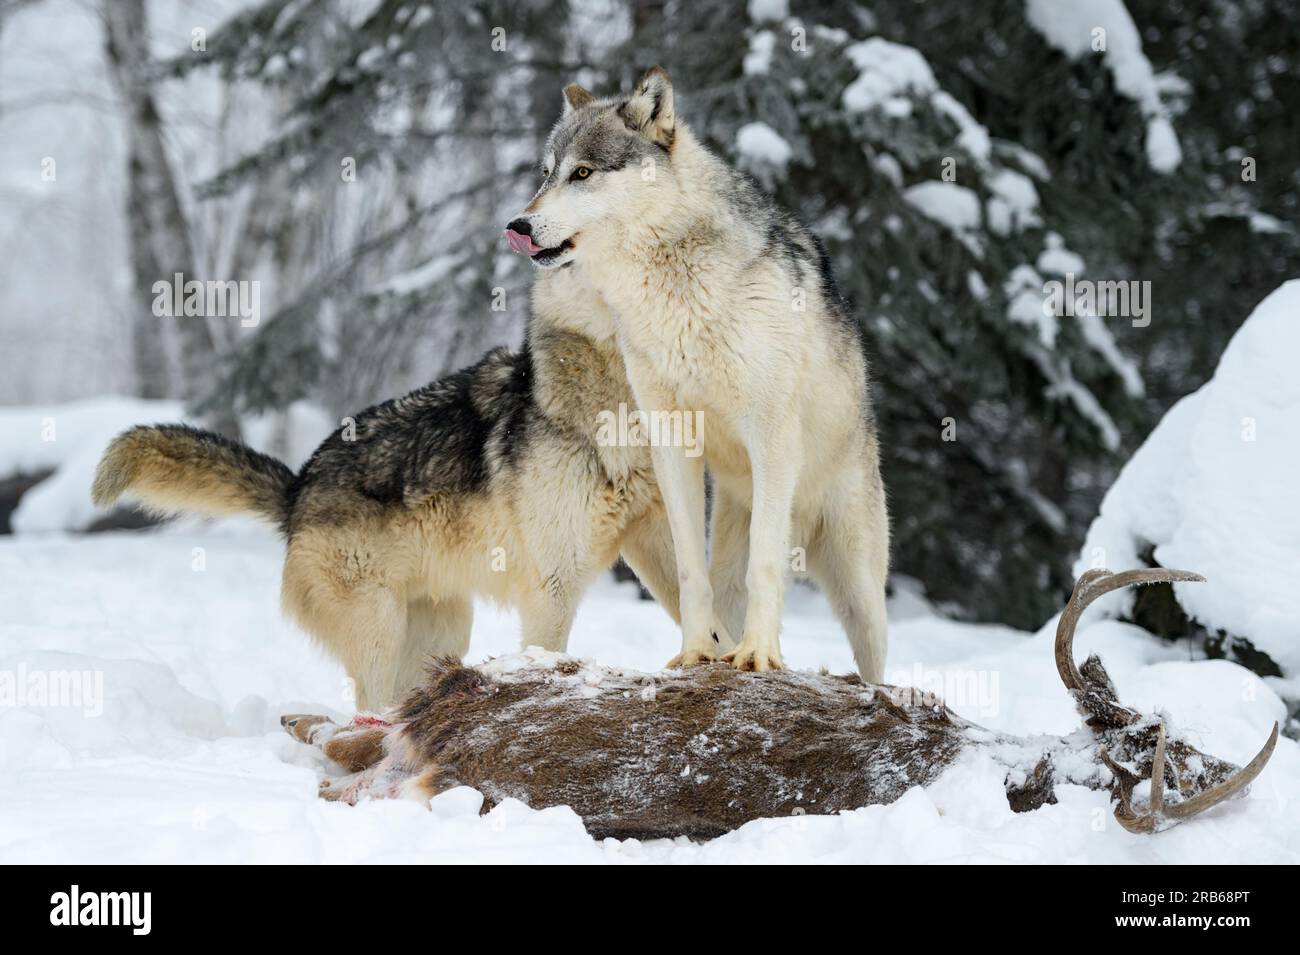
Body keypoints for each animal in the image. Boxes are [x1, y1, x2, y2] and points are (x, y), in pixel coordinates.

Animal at [92, 268, 733, 709]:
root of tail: (298, 487)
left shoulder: (658, 538)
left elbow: (706, 609)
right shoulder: (552, 585)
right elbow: (550, 659)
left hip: (441, 633)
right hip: (378, 628)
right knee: (368, 707)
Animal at [504, 68, 890, 680]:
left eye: (582, 173)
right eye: (546, 174)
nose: (517, 224)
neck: (672, 287)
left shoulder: (770, 432)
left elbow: (766, 567)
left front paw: (759, 656)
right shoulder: (670, 437)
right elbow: (689, 570)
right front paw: (696, 656)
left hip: (859, 585)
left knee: (875, 662)